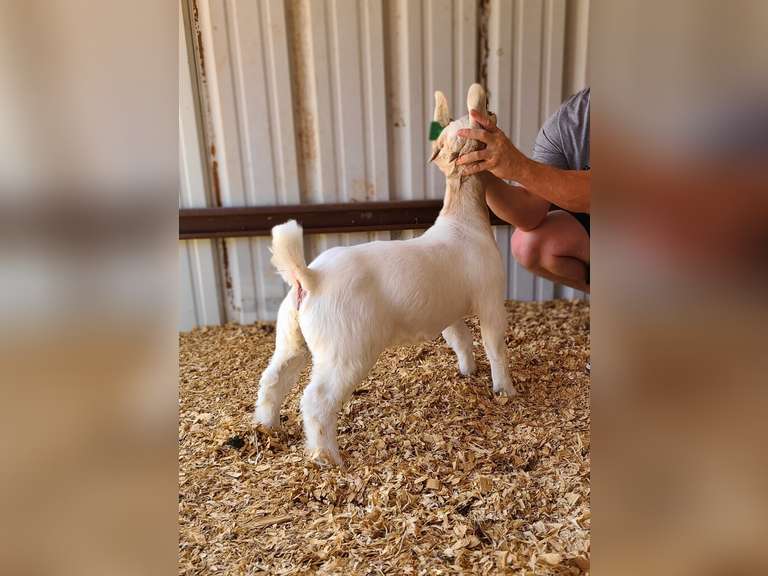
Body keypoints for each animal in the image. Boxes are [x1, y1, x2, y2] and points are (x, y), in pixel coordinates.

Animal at [253, 84, 513, 466]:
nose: (495, 114)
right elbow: (495, 346)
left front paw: (468, 371)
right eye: (488, 114)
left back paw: (266, 425)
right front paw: (505, 390)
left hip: (291, 339)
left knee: (273, 380)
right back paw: (328, 457)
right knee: (316, 400)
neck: (464, 221)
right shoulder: (492, 299)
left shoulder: (448, 311)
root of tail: (309, 277)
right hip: (346, 351)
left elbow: (461, 339)